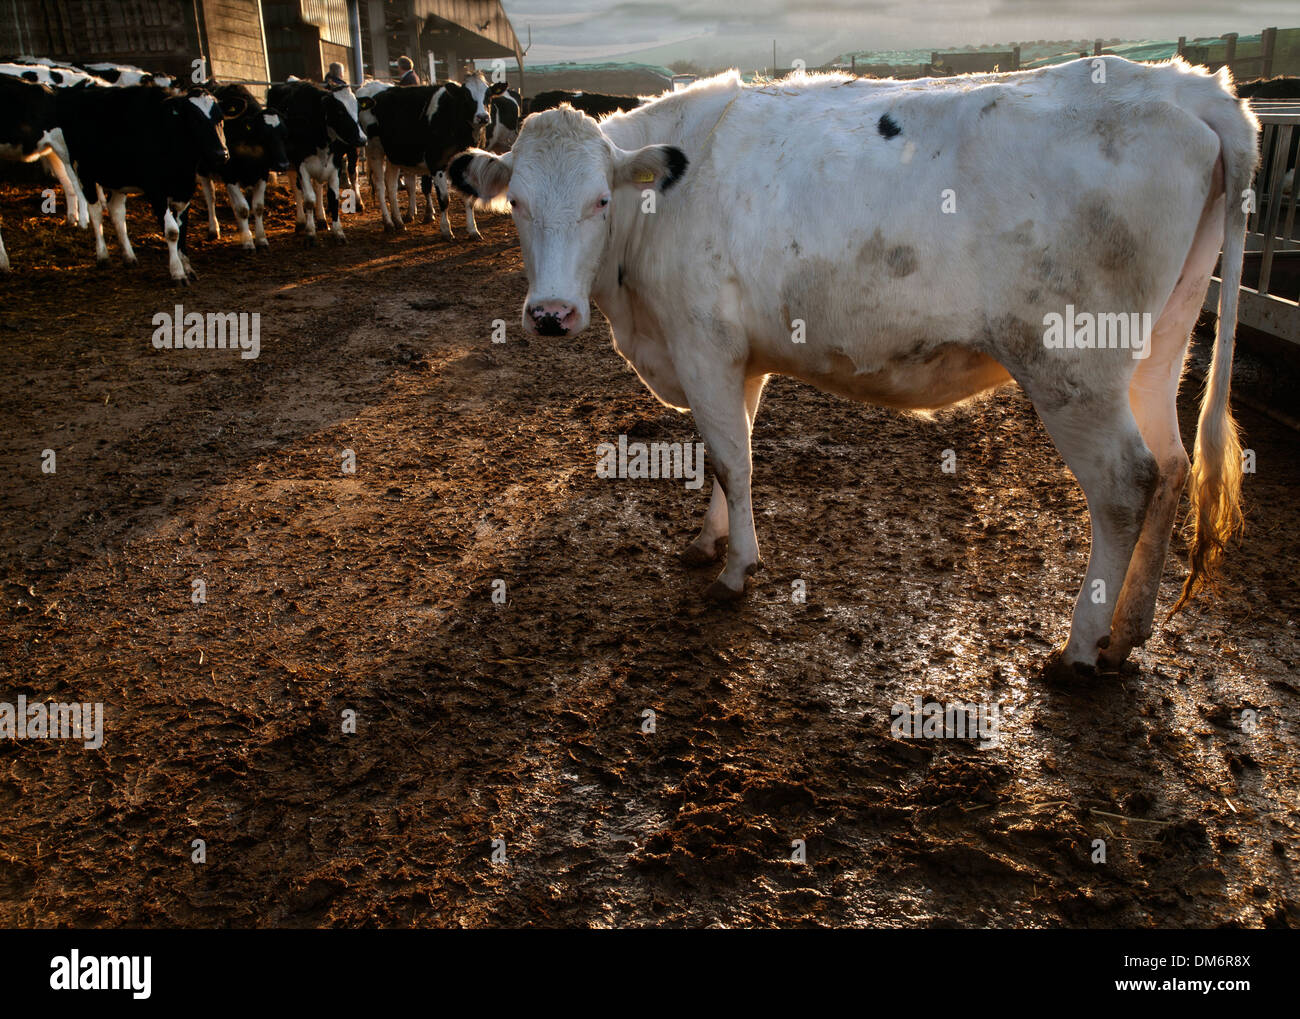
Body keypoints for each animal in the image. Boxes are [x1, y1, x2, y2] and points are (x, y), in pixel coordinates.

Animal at [56, 84, 227, 281]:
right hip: (83, 172)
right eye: (196, 120)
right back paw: (103, 256)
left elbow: (182, 230)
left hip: (118, 178)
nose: (221, 153)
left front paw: (188, 268)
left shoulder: (185, 191)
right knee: (96, 211)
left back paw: (129, 257)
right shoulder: (156, 191)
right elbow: (172, 231)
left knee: (116, 211)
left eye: (221, 118)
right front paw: (177, 272)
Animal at [198, 83, 291, 251]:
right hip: (203, 170)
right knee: (210, 197)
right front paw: (248, 242)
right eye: (264, 136)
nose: (283, 164)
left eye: (284, 135)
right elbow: (243, 208)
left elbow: (257, 207)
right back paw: (213, 230)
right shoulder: (229, 174)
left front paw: (261, 239)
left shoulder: (262, 174)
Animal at [266, 79, 366, 244]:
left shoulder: (335, 163)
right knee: (296, 188)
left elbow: (333, 198)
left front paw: (338, 232)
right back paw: (301, 222)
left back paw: (321, 219)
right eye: (339, 111)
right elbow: (308, 199)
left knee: (320, 186)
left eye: (358, 109)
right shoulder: (301, 165)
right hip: (290, 163)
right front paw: (310, 234)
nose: (362, 139)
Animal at [361, 80, 478, 236]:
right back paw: (388, 223)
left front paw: (473, 230)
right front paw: (446, 229)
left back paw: (398, 222)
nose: (483, 117)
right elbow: (443, 198)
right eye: (466, 96)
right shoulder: (435, 162)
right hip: (374, 150)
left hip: (394, 155)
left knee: (391, 184)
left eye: (488, 95)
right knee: (380, 185)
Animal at [451, 58, 1259, 676]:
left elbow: (733, 460)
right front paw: (710, 541)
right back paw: (1130, 632)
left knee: (1127, 484)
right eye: (516, 204)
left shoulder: (701, 342)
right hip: (1156, 348)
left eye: (598, 200)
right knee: (1174, 465)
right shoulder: (738, 358)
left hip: (1072, 368)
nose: (551, 313)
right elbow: (726, 454)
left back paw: (1082, 646)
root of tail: (1186, 85)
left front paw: (737, 569)